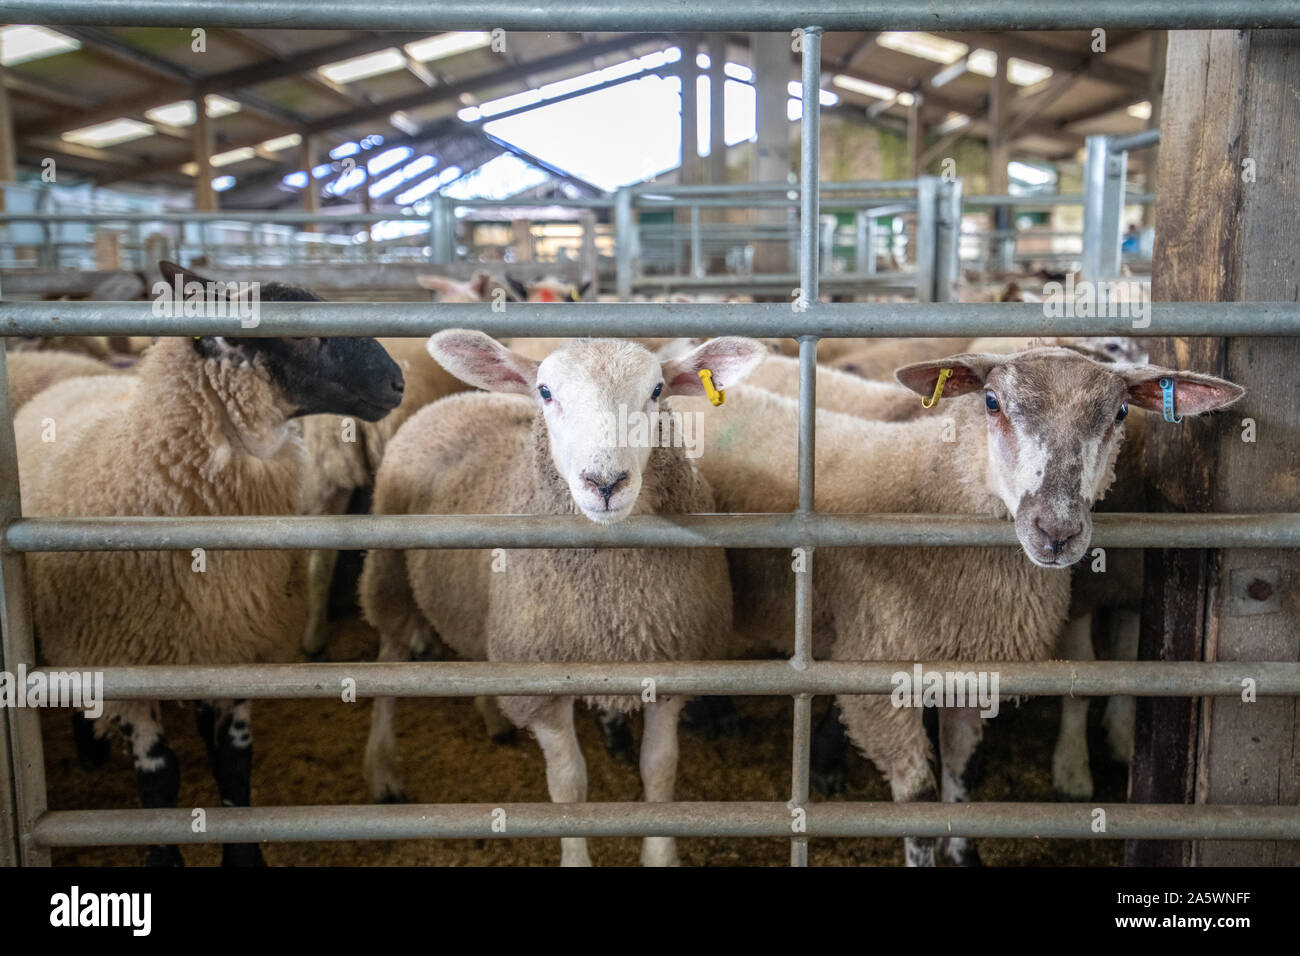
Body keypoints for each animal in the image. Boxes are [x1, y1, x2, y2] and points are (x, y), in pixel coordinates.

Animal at [15, 261, 404, 867]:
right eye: (294, 333)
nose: (397, 382)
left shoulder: (237, 641)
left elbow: (233, 762)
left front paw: (244, 858)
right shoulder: (123, 660)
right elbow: (159, 778)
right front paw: (161, 856)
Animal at [359, 332, 767, 866]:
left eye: (657, 390)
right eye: (546, 392)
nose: (605, 483)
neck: (615, 613)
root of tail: (462, 397)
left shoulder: (671, 665)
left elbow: (659, 769)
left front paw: (660, 853)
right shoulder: (541, 685)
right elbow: (570, 786)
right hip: (388, 573)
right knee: (389, 661)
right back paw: (383, 770)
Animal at [672, 346, 1242, 865]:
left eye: (1121, 412)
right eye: (991, 402)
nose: (1056, 531)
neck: (929, 493)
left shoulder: (969, 674)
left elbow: (961, 779)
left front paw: (965, 853)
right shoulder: (880, 682)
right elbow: (921, 803)